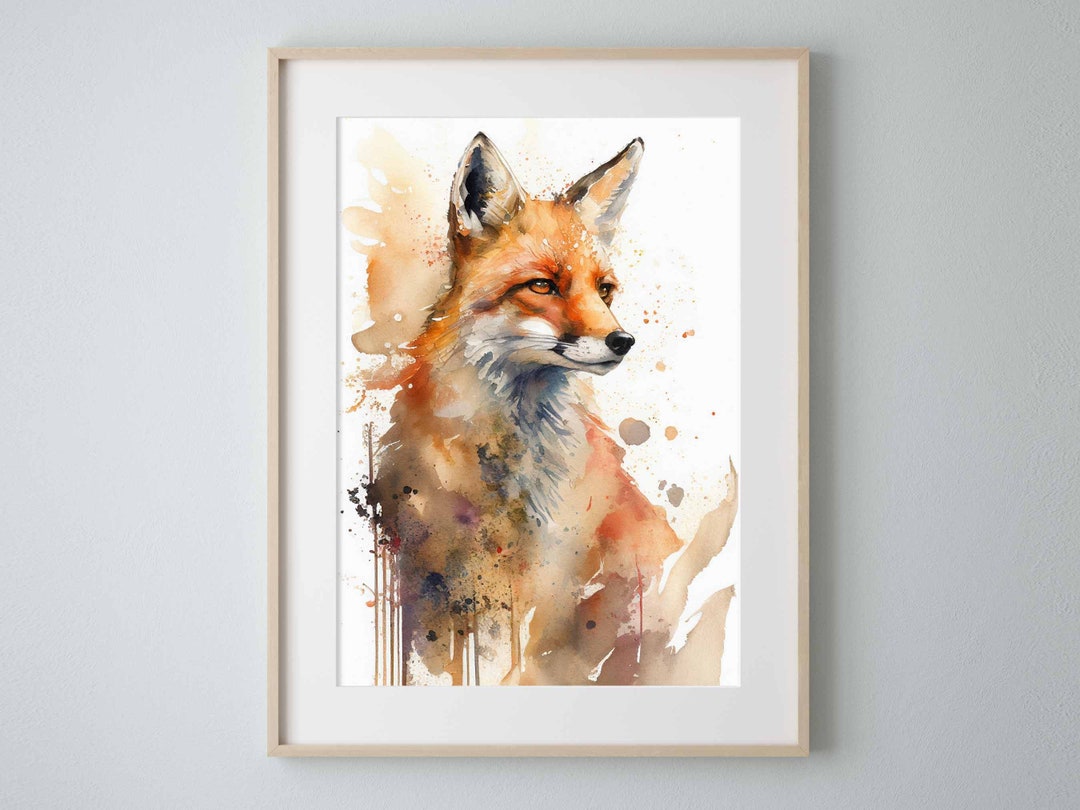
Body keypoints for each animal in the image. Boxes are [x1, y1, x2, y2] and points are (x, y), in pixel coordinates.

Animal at [366, 132, 728, 686]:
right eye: (542, 285)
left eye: (605, 290)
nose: (624, 341)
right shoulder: (431, 579)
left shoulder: (548, 581)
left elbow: (525, 662)